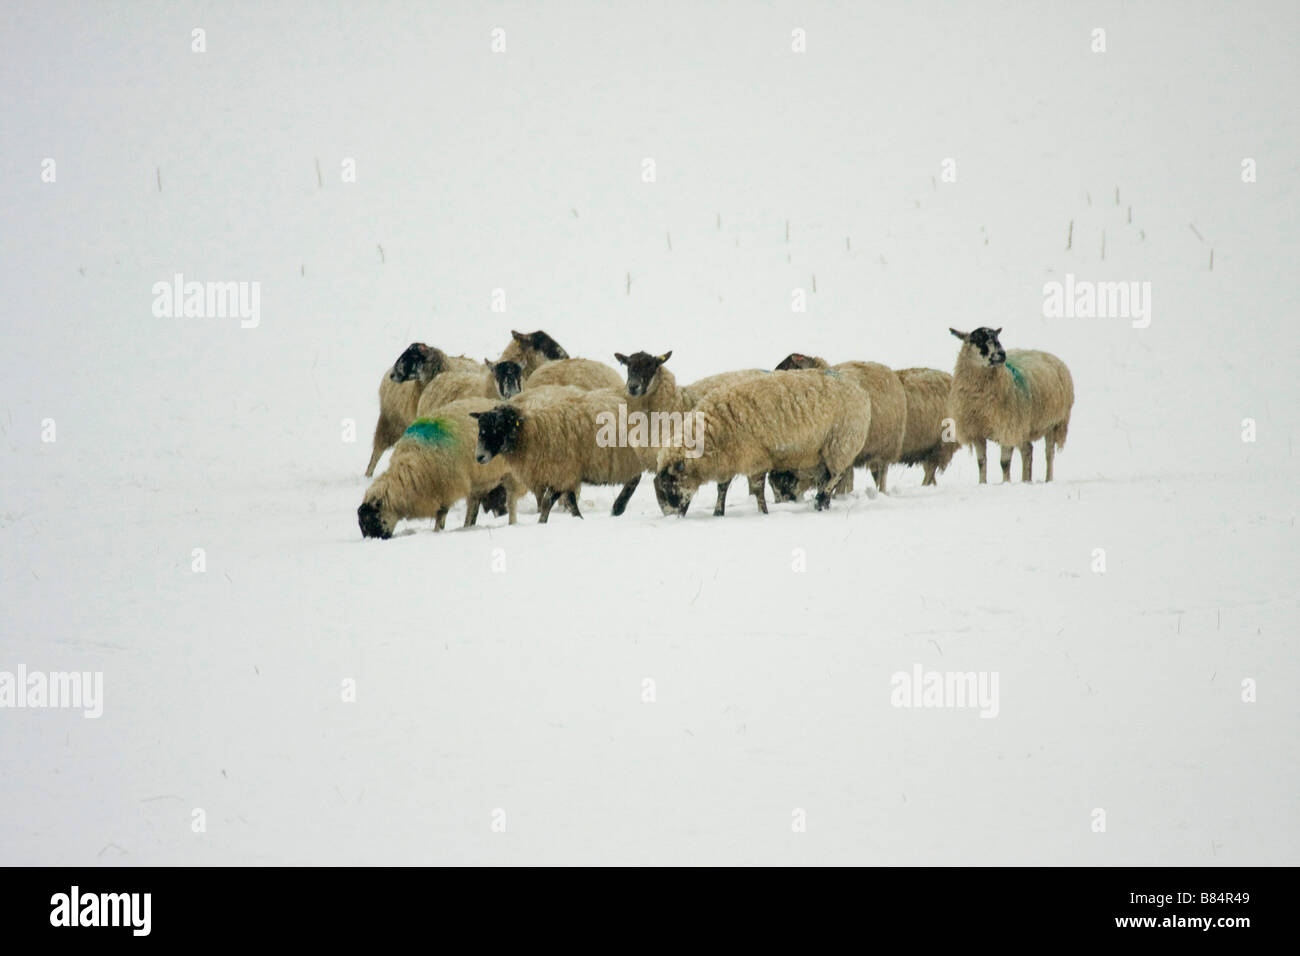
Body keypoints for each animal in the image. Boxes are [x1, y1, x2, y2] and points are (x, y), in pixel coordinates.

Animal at [358, 397, 520, 539]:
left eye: (371, 520)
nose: (374, 540)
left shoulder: (445, 489)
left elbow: (441, 515)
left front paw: (437, 532)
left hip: (510, 475)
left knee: (511, 502)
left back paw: (512, 523)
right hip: (478, 482)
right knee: (473, 506)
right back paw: (468, 527)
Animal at [470, 387, 646, 522]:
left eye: (499, 427)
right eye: (481, 428)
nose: (479, 457)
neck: (534, 430)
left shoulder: (561, 472)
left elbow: (547, 502)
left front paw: (542, 522)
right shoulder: (566, 474)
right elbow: (570, 502)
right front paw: (578, 519)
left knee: (634, 480)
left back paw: (618, 507)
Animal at [614, 351, 769, 515]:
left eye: (651, 365)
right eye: (628, 365)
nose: (633, 387)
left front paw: (675, 513)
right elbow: (637, 481)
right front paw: (617, 509)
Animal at [654, 368, 871, 516]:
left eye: (669, 484)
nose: (671, 518)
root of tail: (860, 391)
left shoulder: (756, 459)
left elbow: (758, 489)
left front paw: (763, 512)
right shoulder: (729, 459)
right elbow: (722, 488)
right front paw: (718, 512)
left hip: (841, 445)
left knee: (837, 475)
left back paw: (820, 500)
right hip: (822, 453)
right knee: (828, 477)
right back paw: (823, 503)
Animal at [948, 327, 1074, 482]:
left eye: (997, 337)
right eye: (976, 339)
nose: (1002, 354)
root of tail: (1048, 355)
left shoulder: (1007, 429)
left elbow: (1004, 463)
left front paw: (1005, 483)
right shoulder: (977, 432)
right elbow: (981, 462)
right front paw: (982, 483)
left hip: (1053, 423)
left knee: (1049, 454)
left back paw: (1048, 479)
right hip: (1023, 428)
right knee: (1028, 451)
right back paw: (1026, 480)